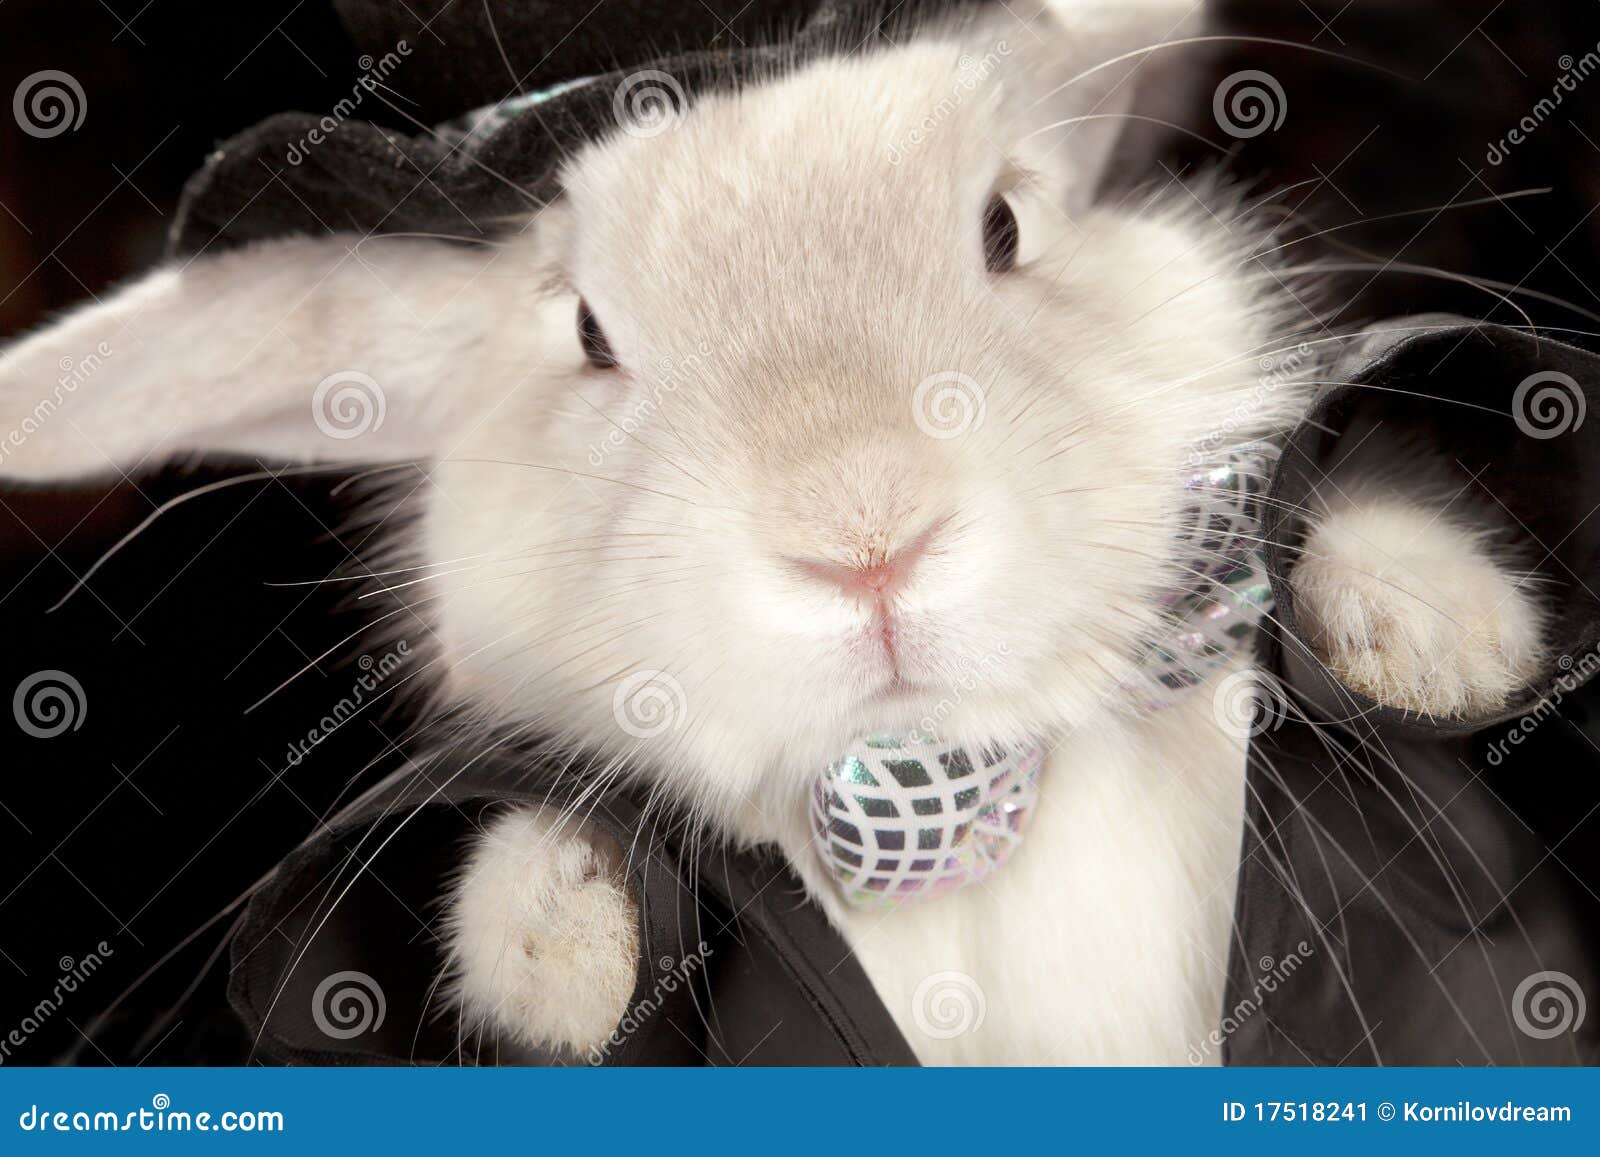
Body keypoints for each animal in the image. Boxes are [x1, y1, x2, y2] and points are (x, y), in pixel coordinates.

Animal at [0, 0, 1545, 1064]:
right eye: (586, 333)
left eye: (1005, 225)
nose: (866, 541)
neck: (957, 788)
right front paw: (561, 933)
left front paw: (1443, 634)